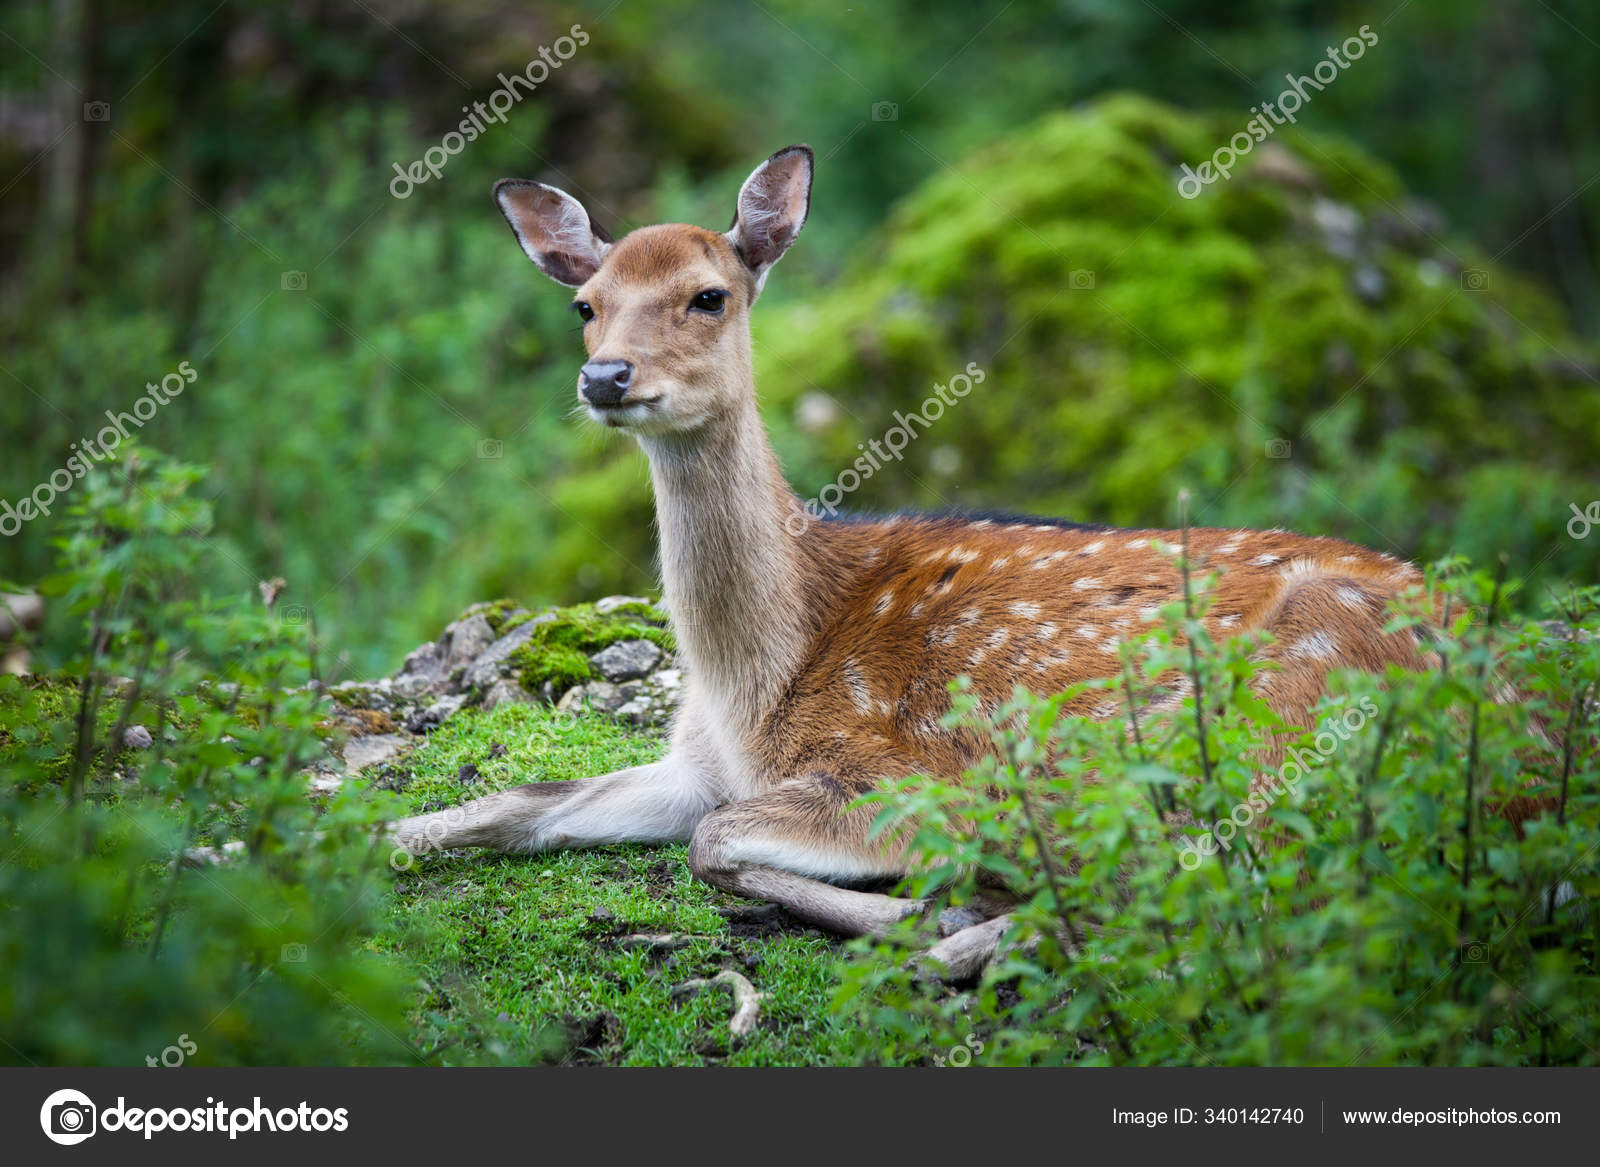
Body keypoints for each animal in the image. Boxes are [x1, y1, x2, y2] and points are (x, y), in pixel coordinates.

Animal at [389, 144, 1437, 974]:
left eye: (708, 295)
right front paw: (376, 842)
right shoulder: (692, 764)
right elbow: (515, 801)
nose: (605, 376)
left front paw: (918, 902)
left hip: (1252, 722)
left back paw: (973, 919)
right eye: (584, 304)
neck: (752, 681)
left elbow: (712, 841)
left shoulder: (896, 769)